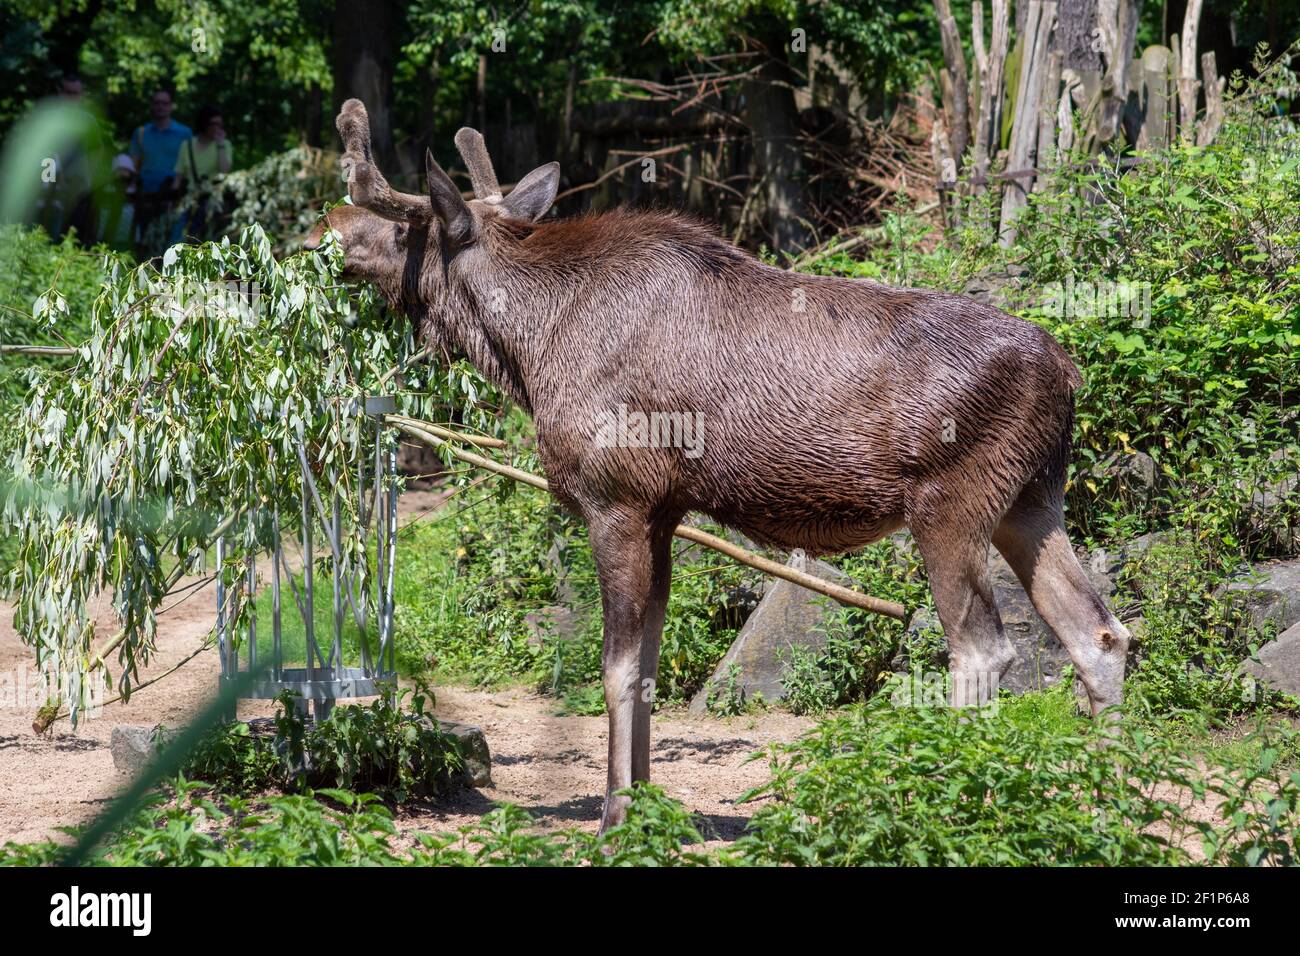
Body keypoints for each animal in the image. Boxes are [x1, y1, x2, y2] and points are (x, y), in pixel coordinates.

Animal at [305, 99, 1131, 832]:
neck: (527, 349)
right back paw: (1106, 803)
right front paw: (649, 804)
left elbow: (615, 668)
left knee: (983, 650)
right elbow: (649, 663)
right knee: (1099, 634)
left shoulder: (617, 500)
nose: (321, 230)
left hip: (951, 505)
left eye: (405, 224)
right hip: (1031, 501)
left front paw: (616, 817)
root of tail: (1069, 374)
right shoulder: (666, 511)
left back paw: (949, 803)